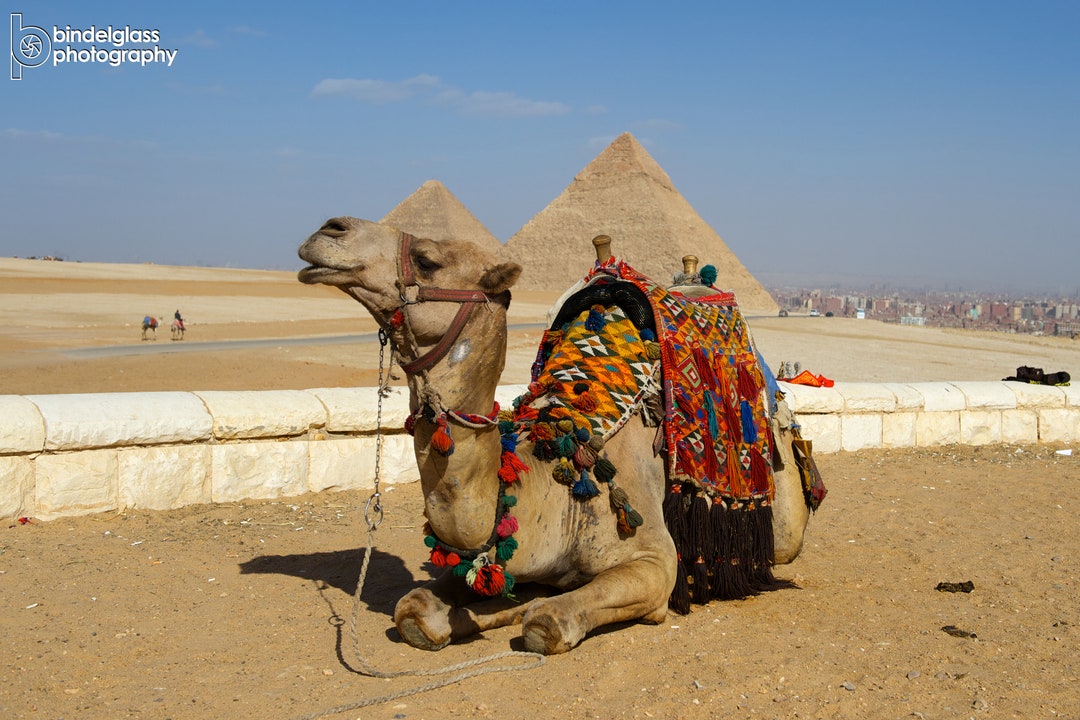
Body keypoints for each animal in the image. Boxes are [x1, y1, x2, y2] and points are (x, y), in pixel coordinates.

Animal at [298, 217, 814, 655]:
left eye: (427, 259)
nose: (330, 228)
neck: (555, 461)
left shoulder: (653, 560)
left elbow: (545, 622)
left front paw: (531, 609)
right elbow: (414, 610)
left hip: (780, 508)